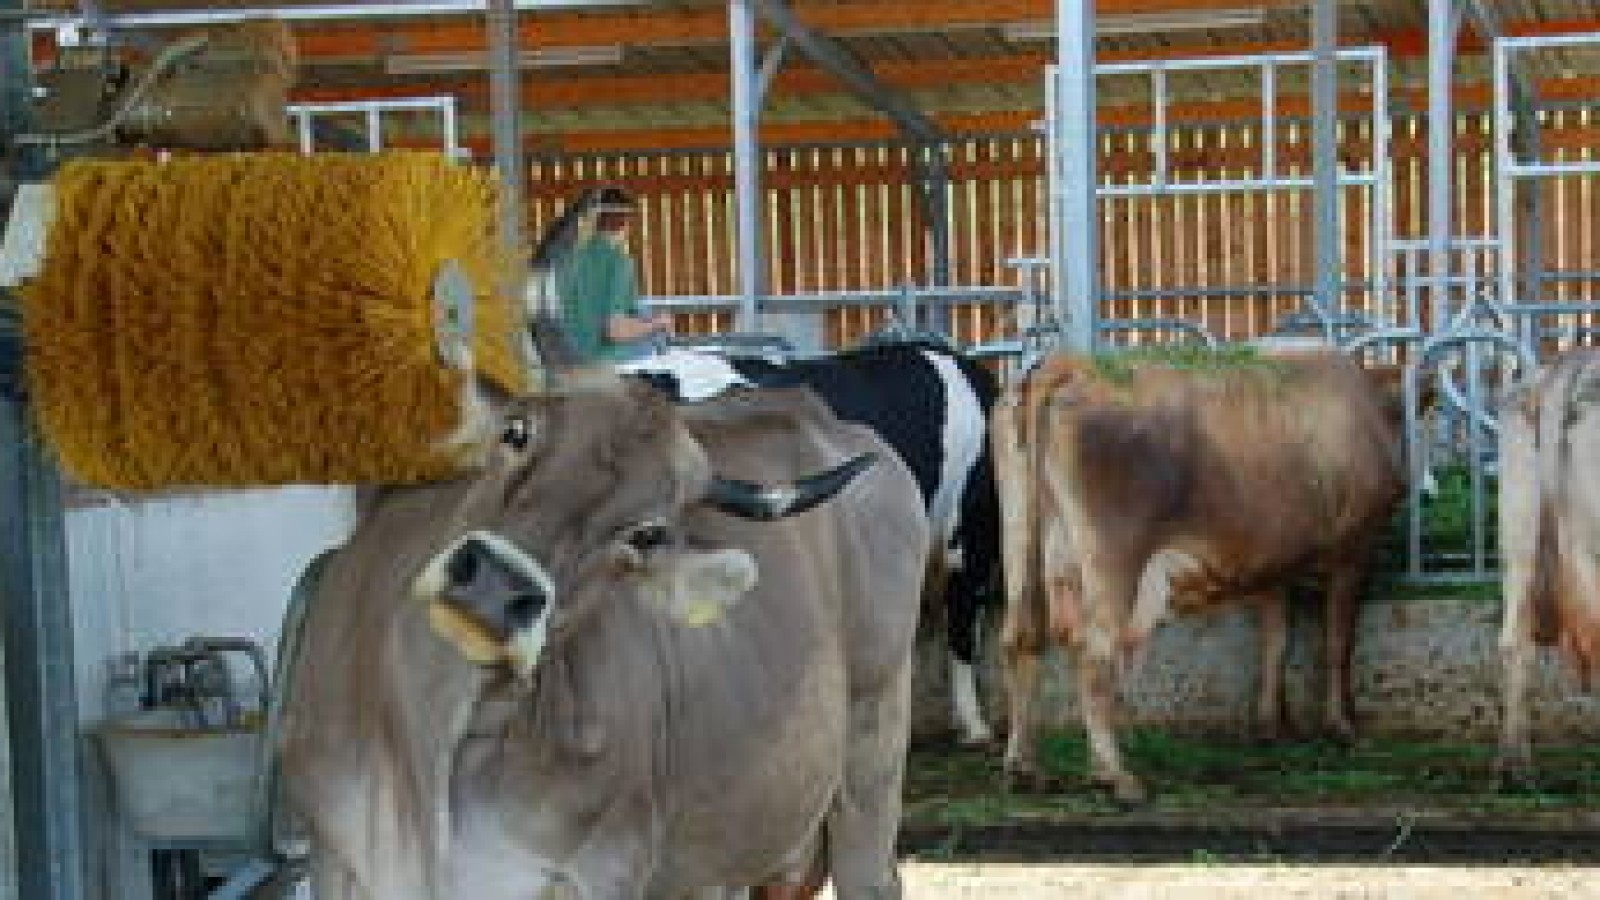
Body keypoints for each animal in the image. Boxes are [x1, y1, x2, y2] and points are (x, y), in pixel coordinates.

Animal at [280, 374, 930, 899]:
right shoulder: (333, 856)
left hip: (875, 734)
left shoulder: (608, 863)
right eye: (518, 430)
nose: (494, 585)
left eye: (646, 534)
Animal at [994, 347, 1404, 803]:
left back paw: (1024, 769)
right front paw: (1341, 726)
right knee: (1095, 657)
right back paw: (1116, 776)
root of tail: (1069, 364)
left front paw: (1272, 725)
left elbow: (1277, 642)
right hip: (1114, 559)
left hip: (1023, 544)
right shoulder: (1356, 549)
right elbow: (1338, 644)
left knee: (1021, 642)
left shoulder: (1273, 568)